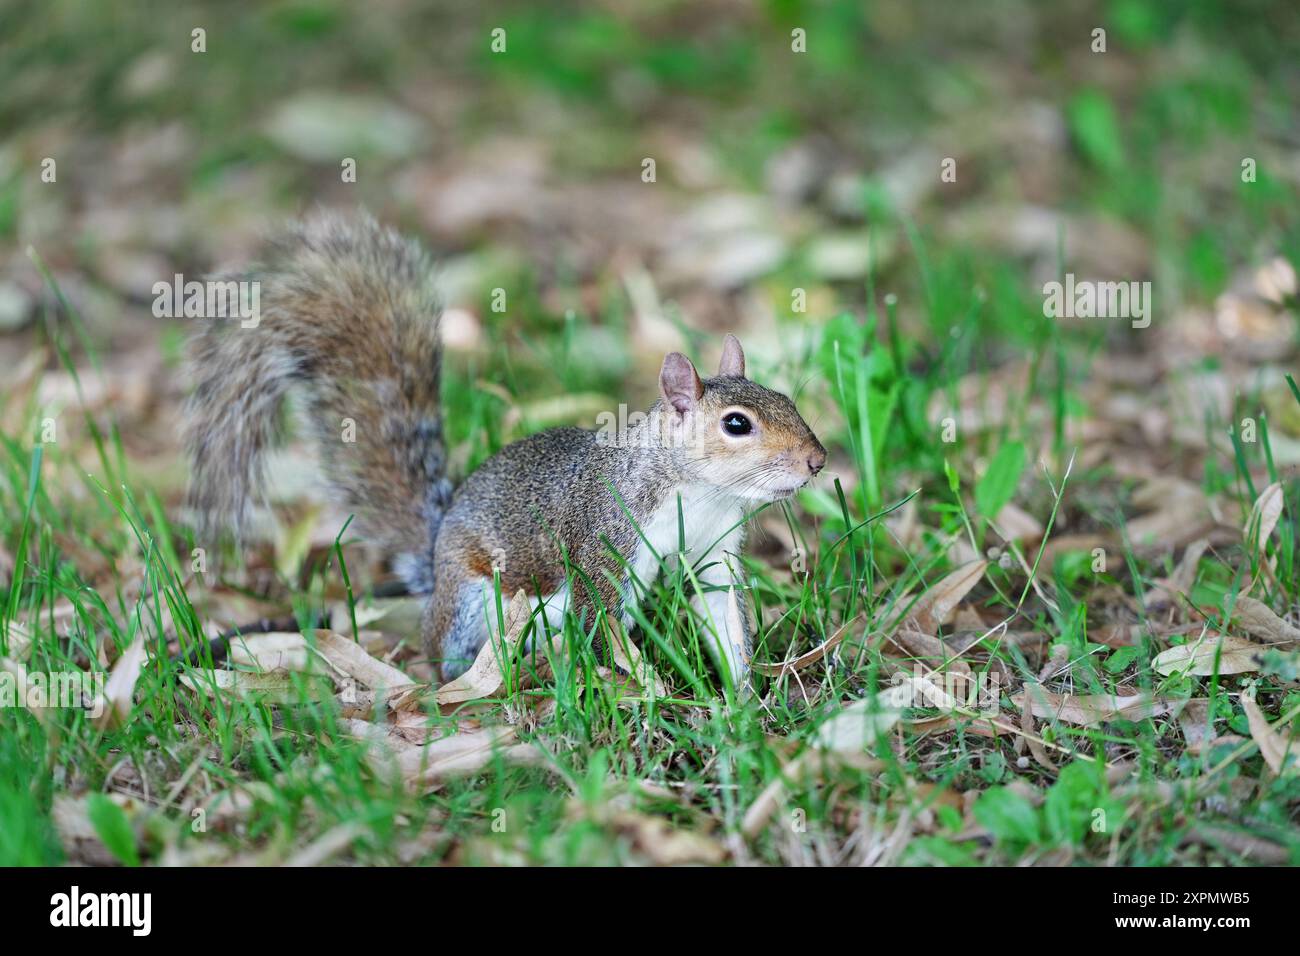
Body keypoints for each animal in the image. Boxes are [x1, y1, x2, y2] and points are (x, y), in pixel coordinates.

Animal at [184, 212, 826, 690]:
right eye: (736, 424)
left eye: (787, 398)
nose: (817, 461)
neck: (696, 490)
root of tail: (434, 561)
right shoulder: (604, 542)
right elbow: (606, 626)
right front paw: (651, 690)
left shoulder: (715, 549)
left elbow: (725, 616)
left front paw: (743, 701)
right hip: (474, 601)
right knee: (448, 654)